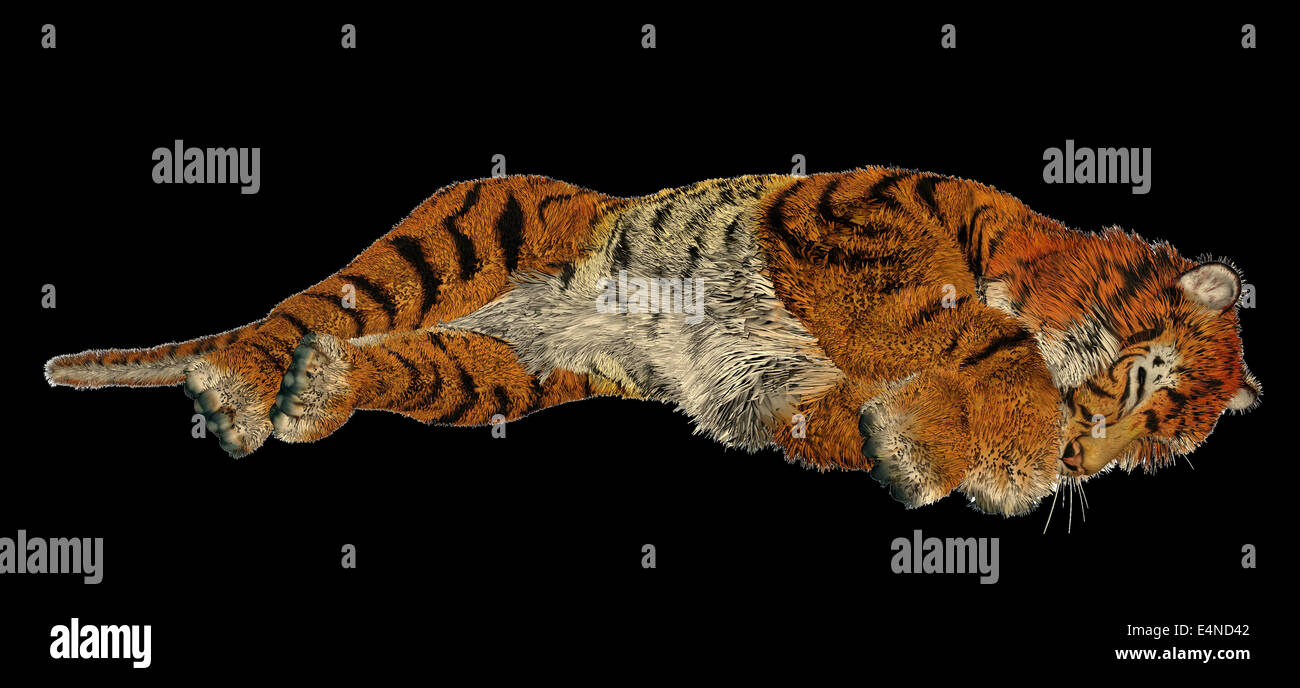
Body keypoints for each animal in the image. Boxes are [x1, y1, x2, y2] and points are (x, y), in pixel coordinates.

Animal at [44, 168, 1260, 516]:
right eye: (1143, 398)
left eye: (1153, 456)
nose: (1088, 461)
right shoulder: (845, 218)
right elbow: (979, 332)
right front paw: (1013, 454)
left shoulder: (774, 391)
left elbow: (868, 411)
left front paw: (918, 456)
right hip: (459, 240)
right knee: (292, 314)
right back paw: (237, 388)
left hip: (497, 374)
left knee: (375, 356)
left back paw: (314, 395)